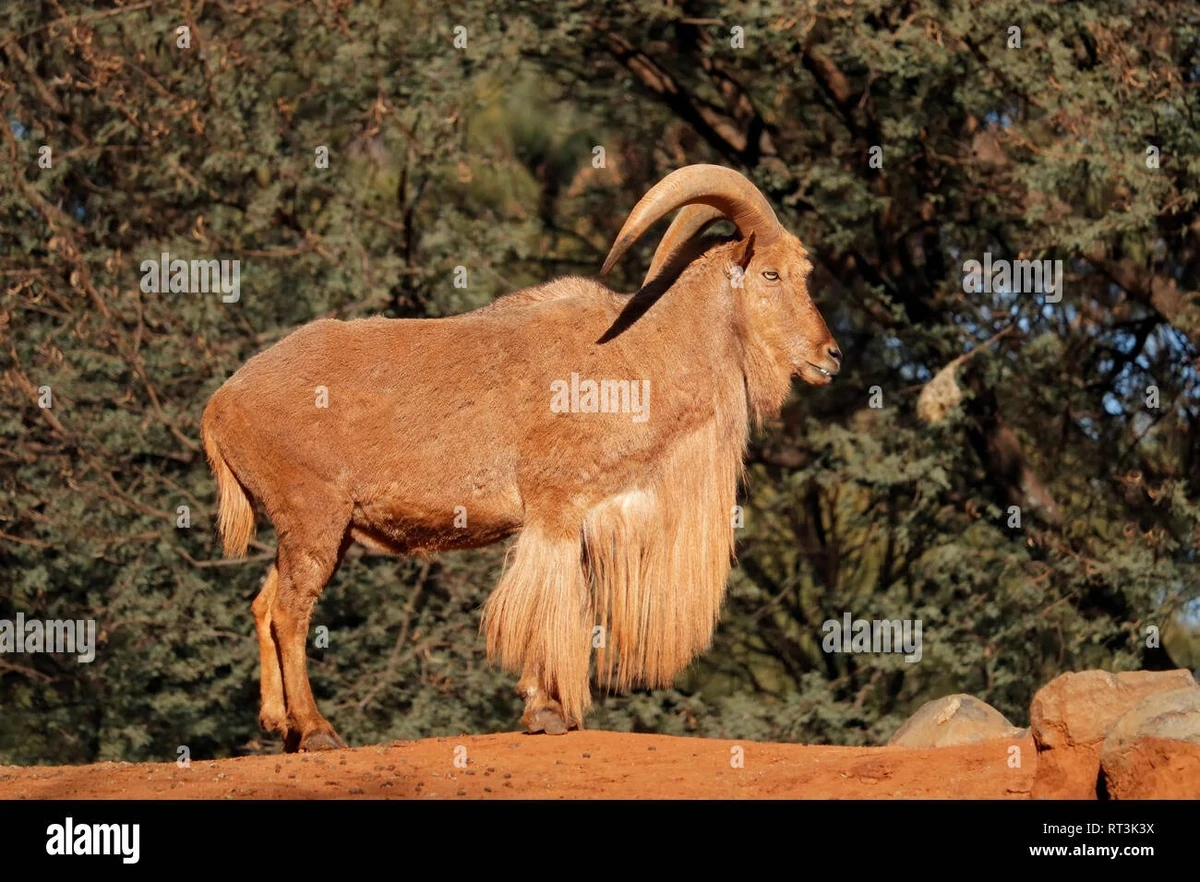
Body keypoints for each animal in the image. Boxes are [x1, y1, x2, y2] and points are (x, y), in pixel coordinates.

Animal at [201, 164, 841, 751]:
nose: (830, 356)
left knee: (263, 603)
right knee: (290, 613)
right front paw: (546, 711)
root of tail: (221, 403)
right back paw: (315, 731)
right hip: (314, 519)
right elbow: (544, 607)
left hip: (313, 533)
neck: (636, 358)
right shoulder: (554, 508)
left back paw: (279, 724)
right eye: (770, 272)